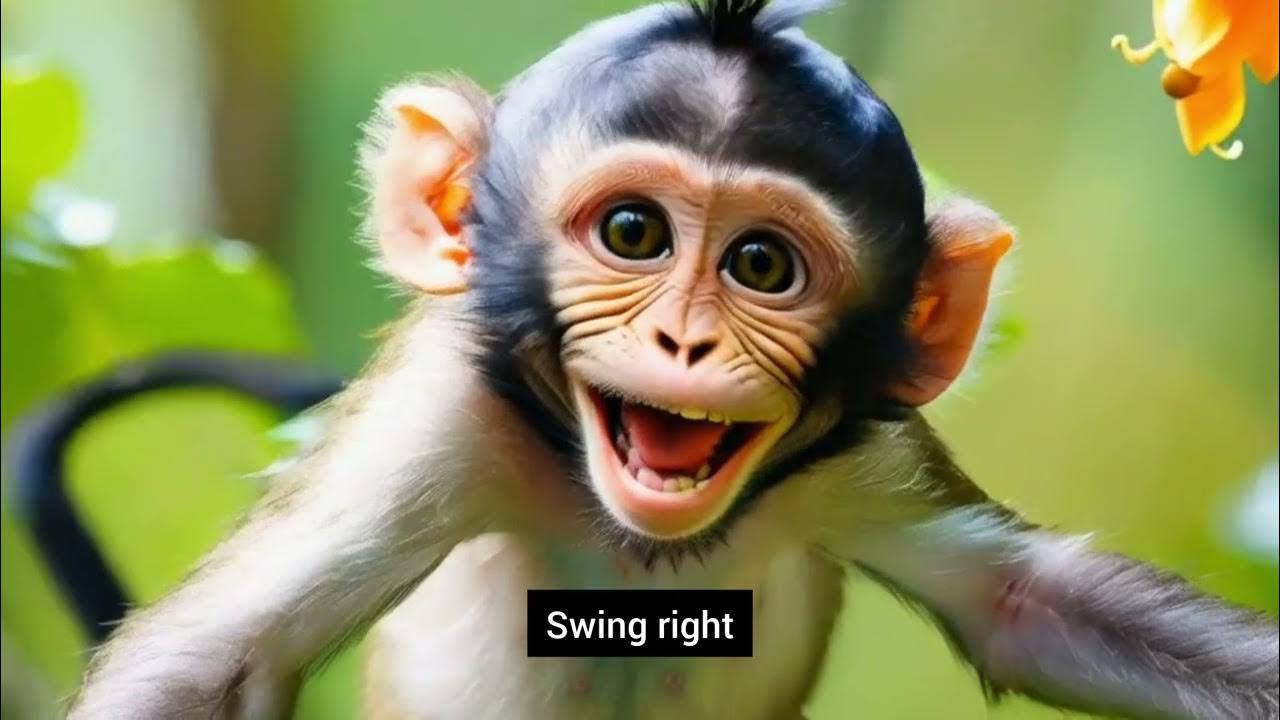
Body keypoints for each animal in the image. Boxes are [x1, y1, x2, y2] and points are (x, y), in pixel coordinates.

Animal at [62, 1, 1278, 719]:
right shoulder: (439, 422)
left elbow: (1032, 606)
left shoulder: (864, 452)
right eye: (634, 233)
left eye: (761, 264)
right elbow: (210, 669)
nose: (683, 340)